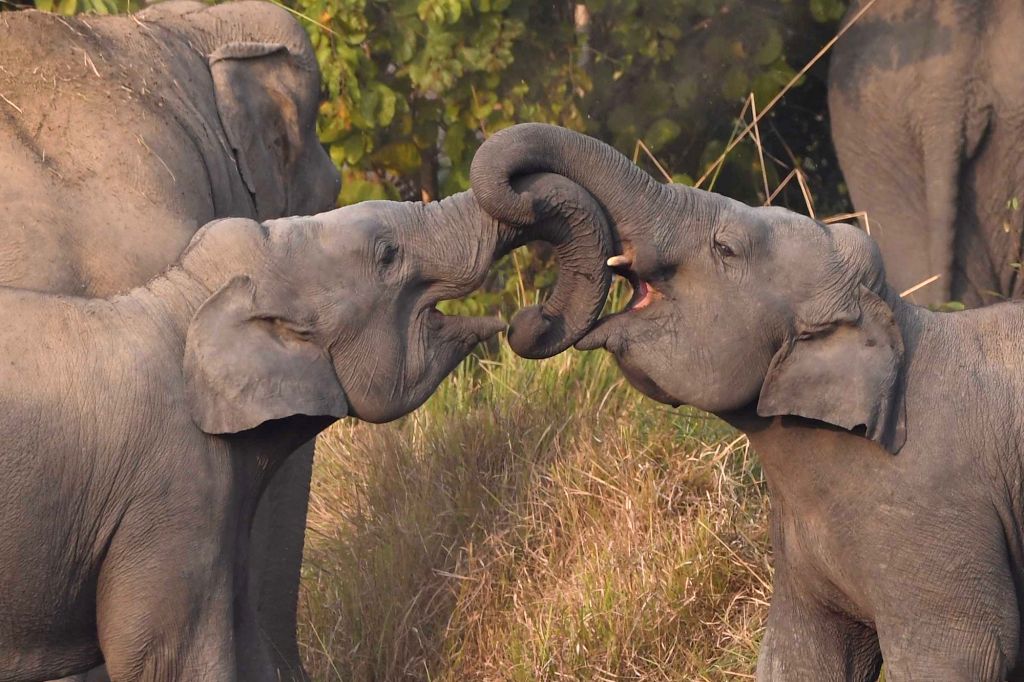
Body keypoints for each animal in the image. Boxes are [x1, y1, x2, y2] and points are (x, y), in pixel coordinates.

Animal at [472, 123, 1024, 681]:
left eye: (726, 248)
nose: (523, 319)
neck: (893, 312)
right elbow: (798, 654)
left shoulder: (934, 513)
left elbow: (962, 652)